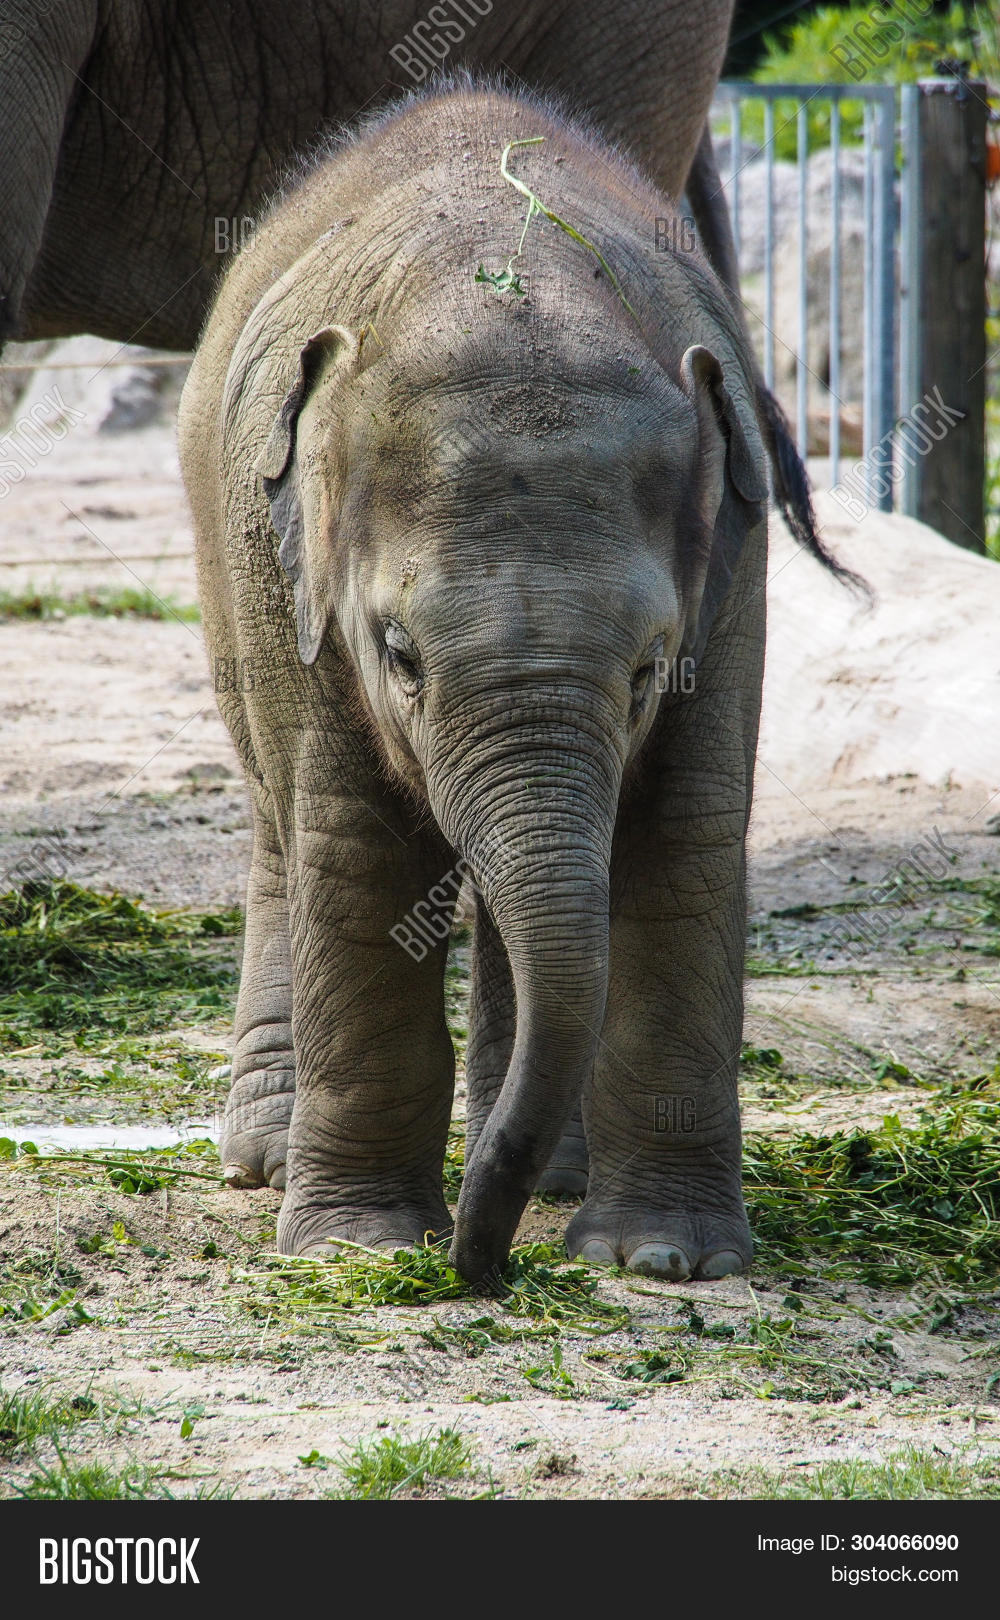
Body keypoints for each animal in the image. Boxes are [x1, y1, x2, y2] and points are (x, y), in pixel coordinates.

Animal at [179, 76, 829, 1287]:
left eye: (647, 668)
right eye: (398, 655)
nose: (481, 1267)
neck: (512, 289)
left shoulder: (739, 562)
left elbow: (682, 841)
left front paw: (662, 1259)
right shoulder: (306, 603)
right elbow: (357, 856)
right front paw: (361, 1248)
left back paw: (547, 1174)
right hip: (229, 573)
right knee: (285, 829)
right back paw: (274, 1163)